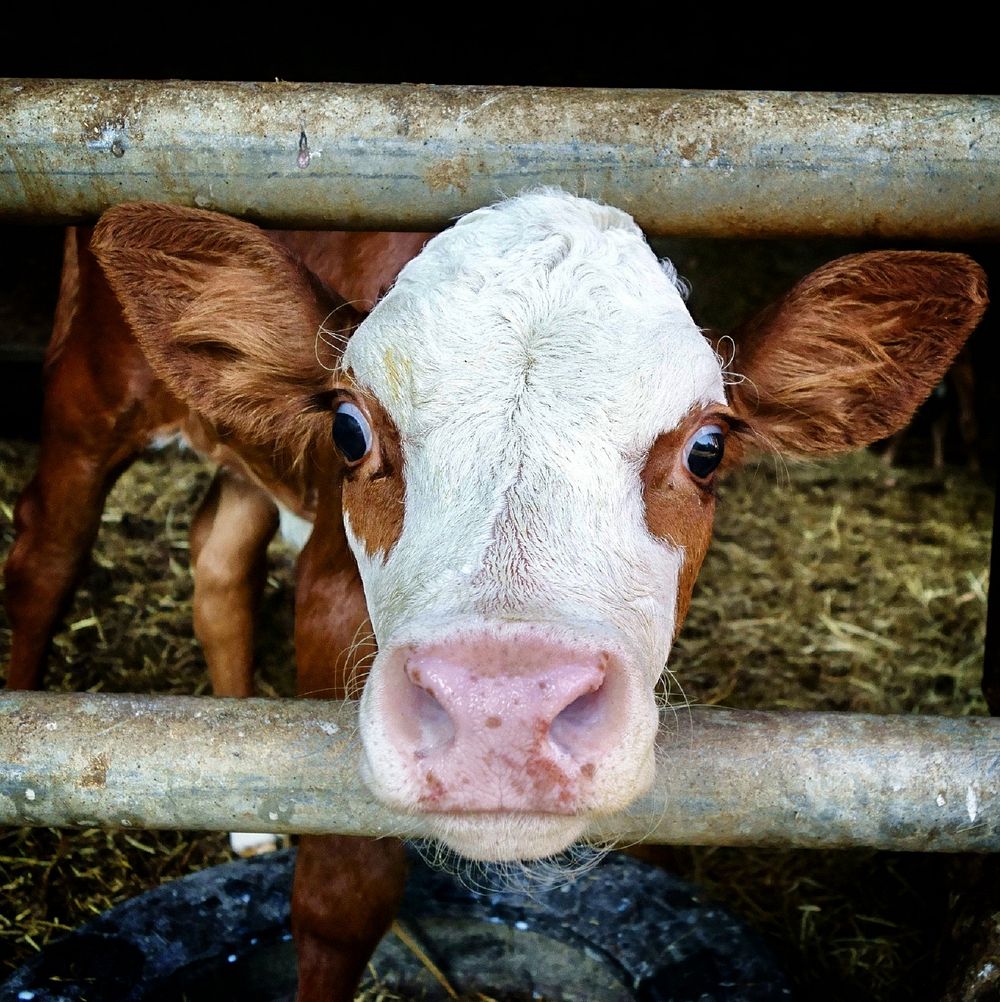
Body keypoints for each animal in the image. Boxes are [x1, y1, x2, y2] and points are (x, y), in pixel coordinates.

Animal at [3, 189, 988, 1000]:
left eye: (708, 449)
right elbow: (343, 894)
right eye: (351, 431)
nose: (502, 710)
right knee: (44, 556)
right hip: (89, 399)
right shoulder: (330, 598)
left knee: (217, 555)